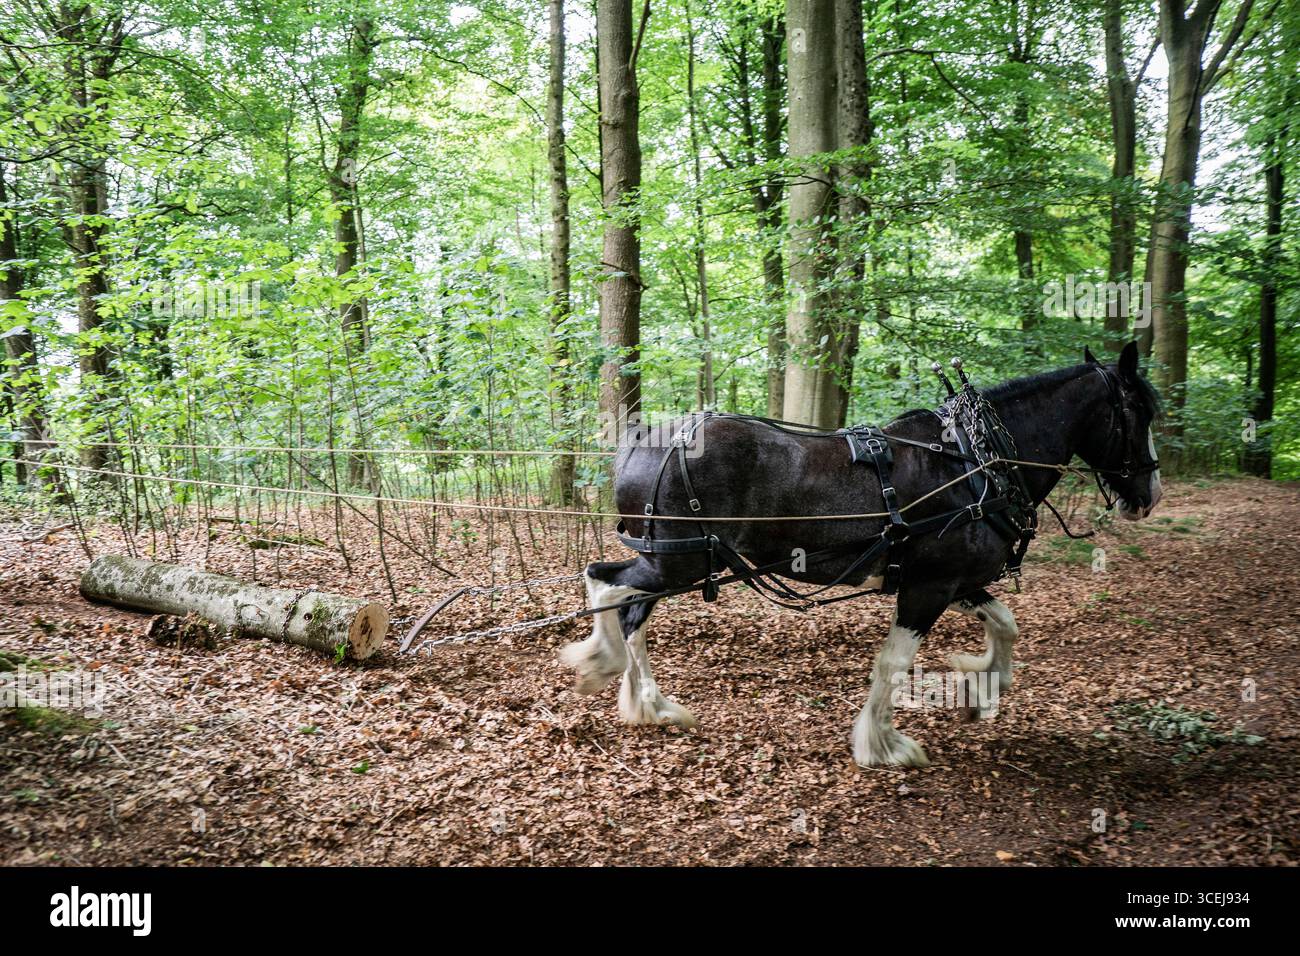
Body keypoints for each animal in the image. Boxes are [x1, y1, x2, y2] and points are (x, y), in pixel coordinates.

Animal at [559, 343, 1162, 767]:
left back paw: (650, 705)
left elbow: (1006, 624)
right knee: (605, 583)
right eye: (1139, 412)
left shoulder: (956, 580)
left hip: (678, 563)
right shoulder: (929, 586)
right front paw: (885, 744)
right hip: (676, 561)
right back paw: (602, 665)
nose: (1149, 495)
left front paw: (981, 684)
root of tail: (641, 439)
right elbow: (893, 663)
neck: (977, 463)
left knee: (631, 609)